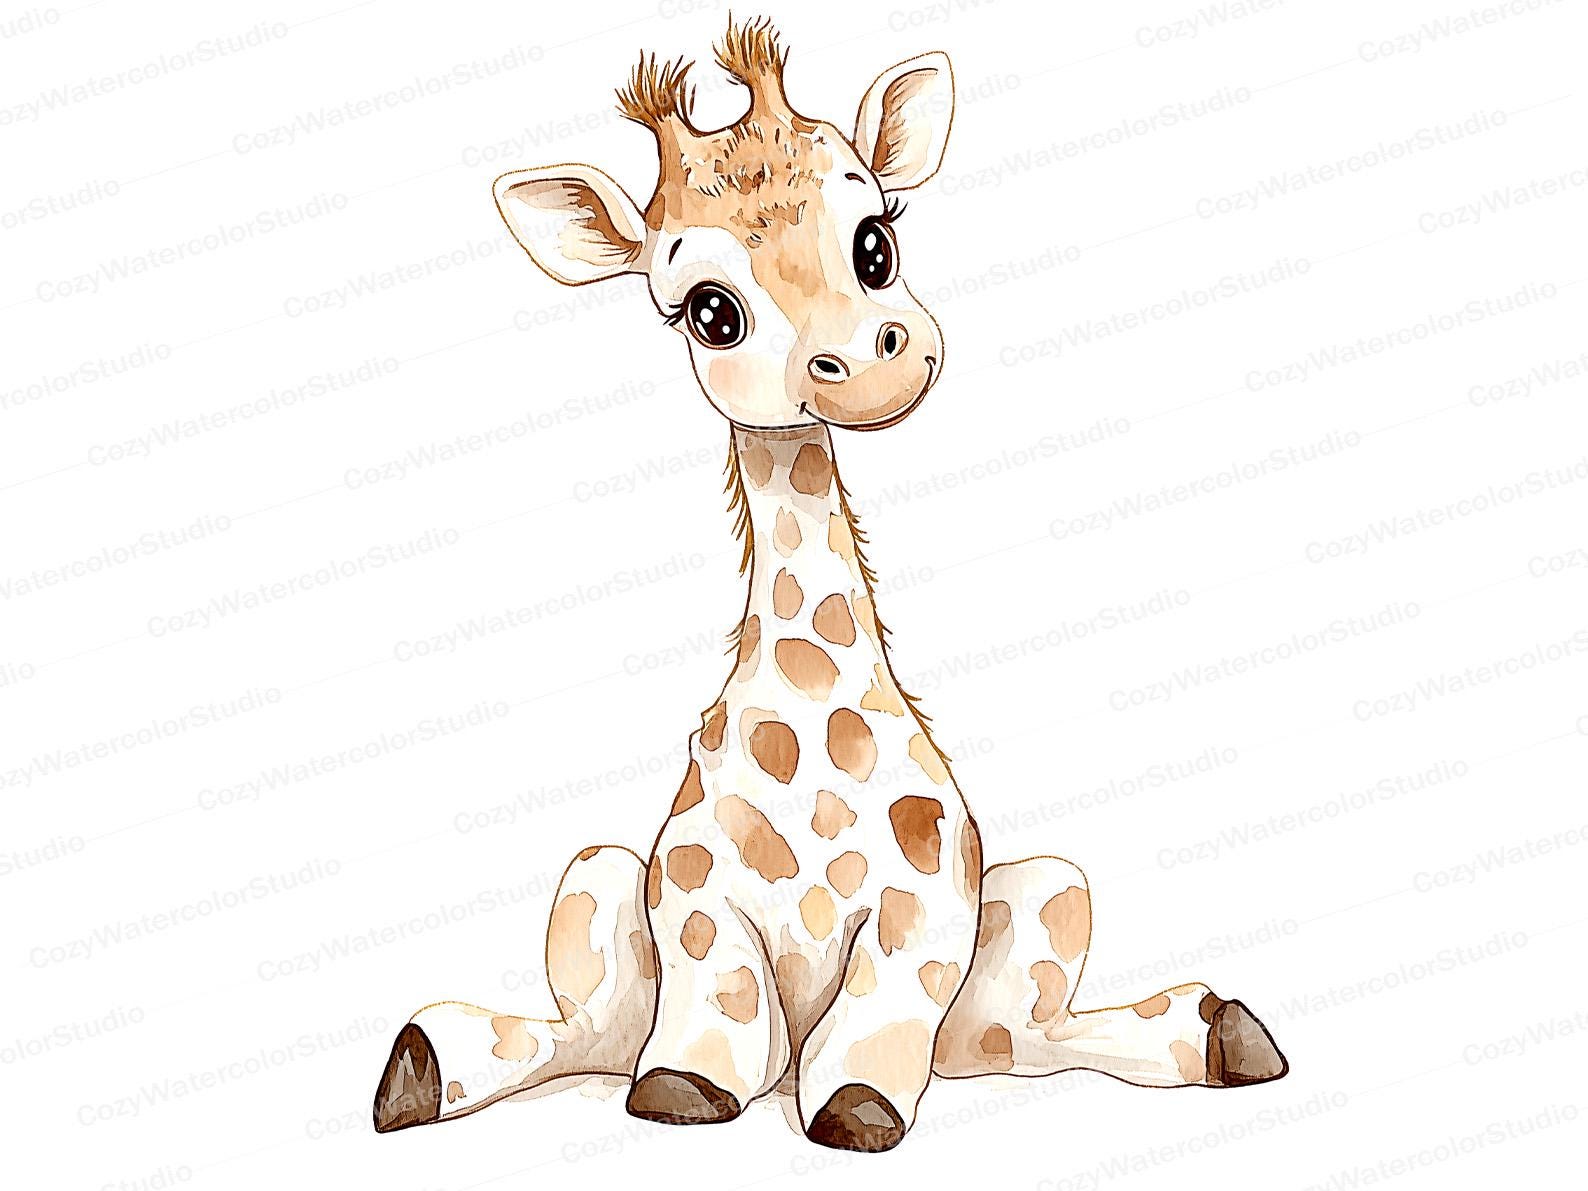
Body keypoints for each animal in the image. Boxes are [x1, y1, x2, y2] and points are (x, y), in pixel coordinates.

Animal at [372, 18, 1288, 1153]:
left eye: (874, 242)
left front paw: (855, 1113)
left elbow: (871, 1047)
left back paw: (1227, 1032)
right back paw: (418, 1065)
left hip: (1045, 895)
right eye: (709, 312)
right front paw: (681, 1092)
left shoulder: (923, 909)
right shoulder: (693, 900)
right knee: (592, 1022)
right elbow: (692, 1049)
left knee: (1005, 1028)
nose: (864, 360)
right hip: (597, 874)